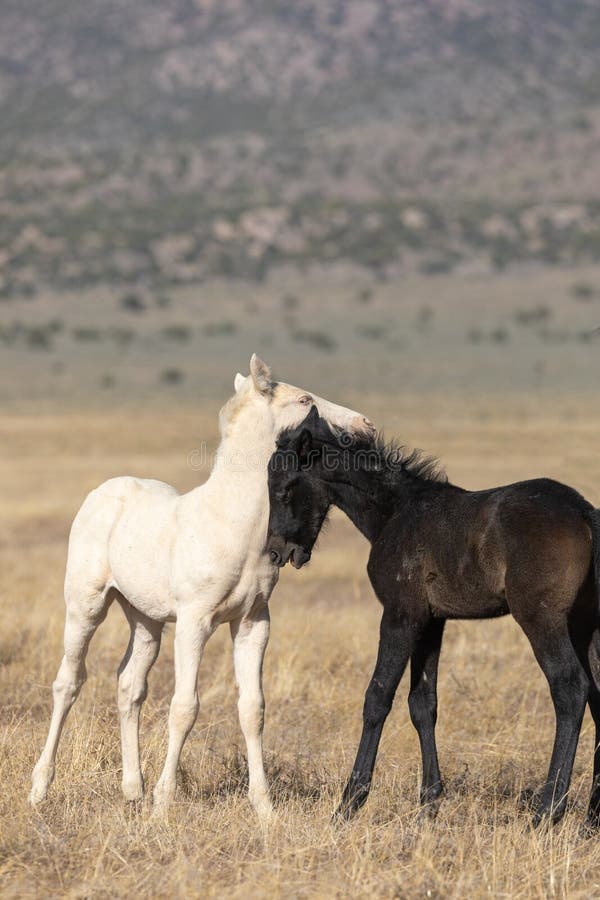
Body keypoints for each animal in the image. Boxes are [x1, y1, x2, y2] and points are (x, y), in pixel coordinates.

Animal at [29, 356, 375, 818]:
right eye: (304, 400)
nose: (366, 426)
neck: (233, 525)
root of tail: (102, 491)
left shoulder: (253, 622)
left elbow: (252, 709)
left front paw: (265, 808)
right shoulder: (195, 622)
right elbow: (184, 707)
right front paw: (164, 805)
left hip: (146, 619)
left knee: (129, 685)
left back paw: (133, 789)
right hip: (85, 606)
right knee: (68, 682)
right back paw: (40, 788)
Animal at [266, 406, 600, 826]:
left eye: (283, 490)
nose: (277, 552)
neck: (395, 512)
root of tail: (585, 513)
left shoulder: (400, 615)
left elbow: (377, 697)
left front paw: (349, 802)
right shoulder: (432, 622)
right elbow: (423, 704)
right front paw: (429, 803)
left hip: (543, 621)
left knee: (569, 688)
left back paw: (547, 811)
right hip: (585, 625)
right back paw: (591, 816)